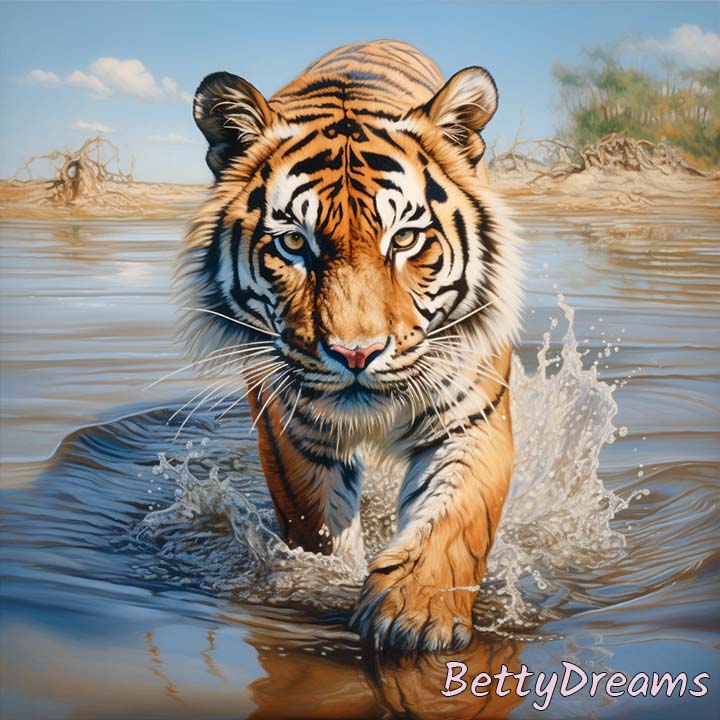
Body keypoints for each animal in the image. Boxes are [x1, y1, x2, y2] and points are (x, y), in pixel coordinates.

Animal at [179, 40, 523, 653]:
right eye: (295, 243)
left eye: (405, 239)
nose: (356, 354)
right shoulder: (292, 431)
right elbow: (319, 528)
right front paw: (328, 585)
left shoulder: (472, 416)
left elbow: (454, 517)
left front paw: (414, 615)